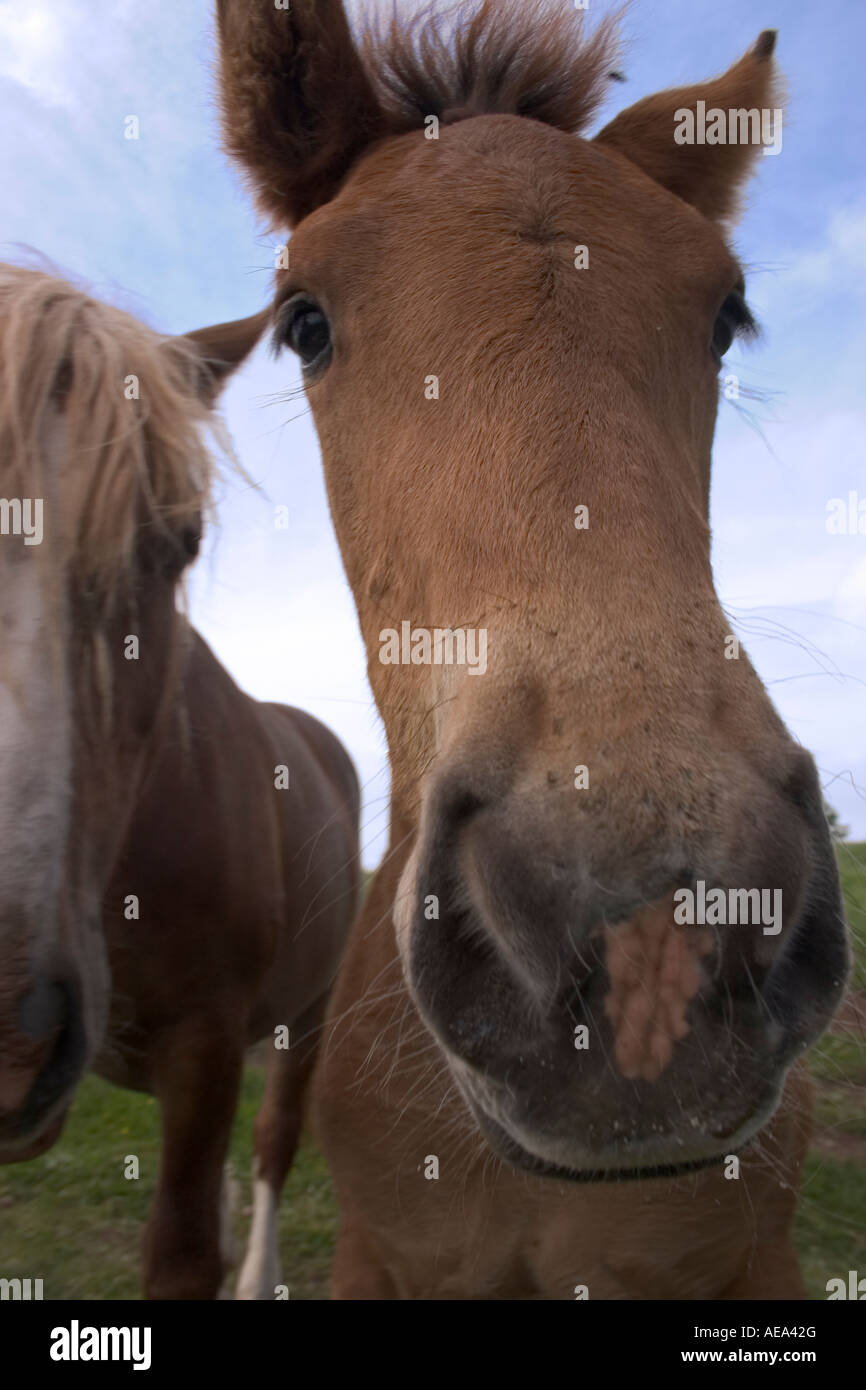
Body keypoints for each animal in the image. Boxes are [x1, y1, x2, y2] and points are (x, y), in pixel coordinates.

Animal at [0, 264, 361, 1299]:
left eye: (184, 537)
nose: (9, 1039)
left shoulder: (202, 1047)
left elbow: (182, 1250)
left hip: (306, 1018)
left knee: (275, 1139)